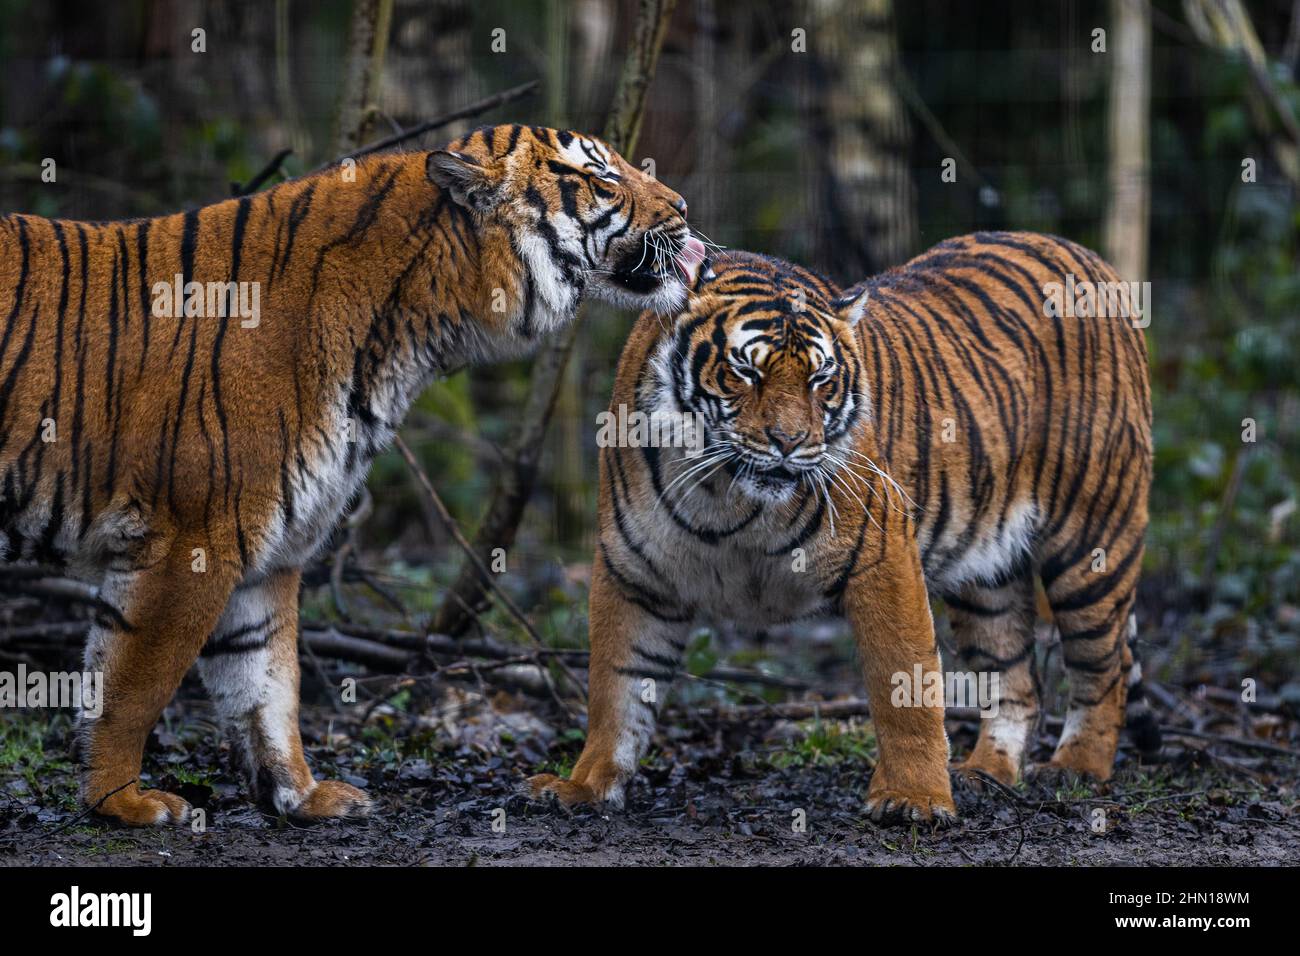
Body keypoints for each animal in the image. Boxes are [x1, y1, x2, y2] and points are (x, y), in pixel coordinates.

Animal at [0, 123, 707, 826]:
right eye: (602, 177)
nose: (683, 204)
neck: (414, 335)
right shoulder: (190, 541)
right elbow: (134, 684)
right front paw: (121, 802)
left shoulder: (264, 551)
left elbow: (264, 683)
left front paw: (300, 794)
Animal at [529, 234, 1155, 824]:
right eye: (745, 371)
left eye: (820, 379)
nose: (789, 442)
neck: (726, 499)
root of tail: (1085, 256)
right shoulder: (635, 571)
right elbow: (617, 688)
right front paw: (583, 785)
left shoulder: (883, 555)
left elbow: (905, 685)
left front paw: (914, 798)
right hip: (987, 572)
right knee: (1016, 679)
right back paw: (986, 773)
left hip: (1091, 540)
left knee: (1106, 666)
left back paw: (1075, 768)